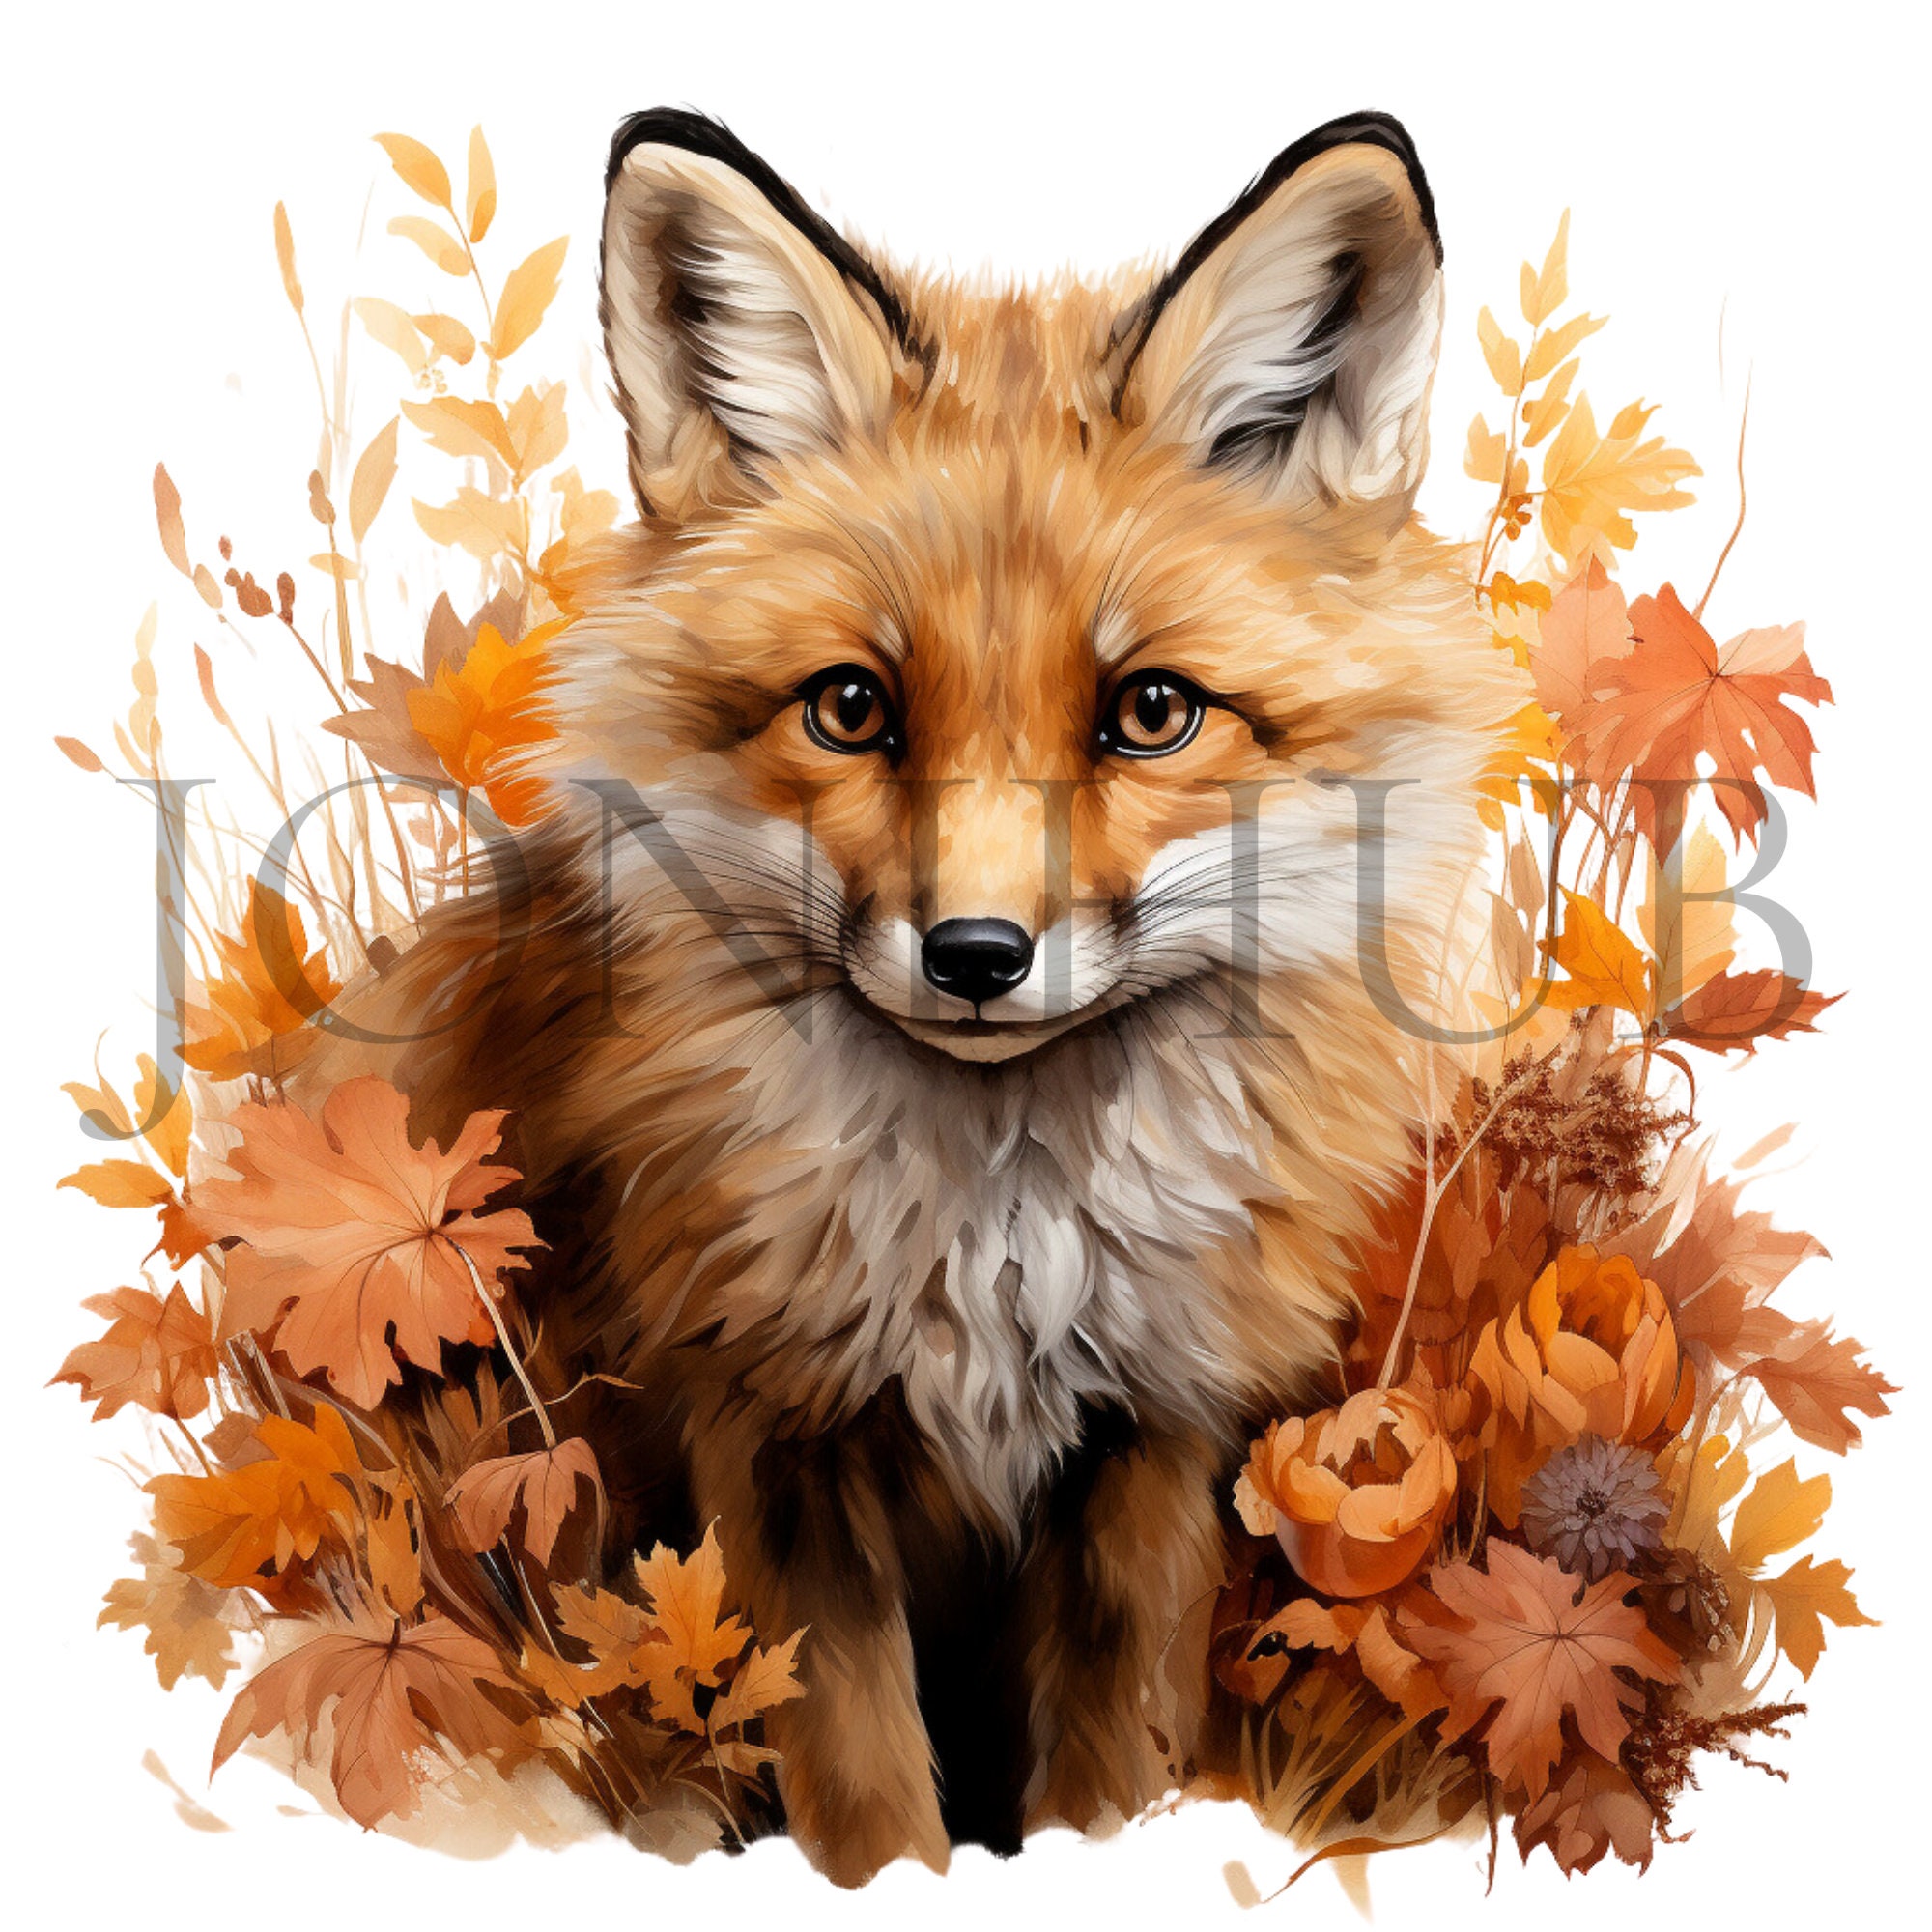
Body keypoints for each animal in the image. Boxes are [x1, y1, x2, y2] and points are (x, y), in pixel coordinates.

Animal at [318, 107, 1525, 1883]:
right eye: (850, 707)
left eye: (1150, 711)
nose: (975, 954)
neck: (1000, 1249)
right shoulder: (768, 1434)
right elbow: (867, 1798)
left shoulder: (1151, 1444)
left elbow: (1112, 1777)